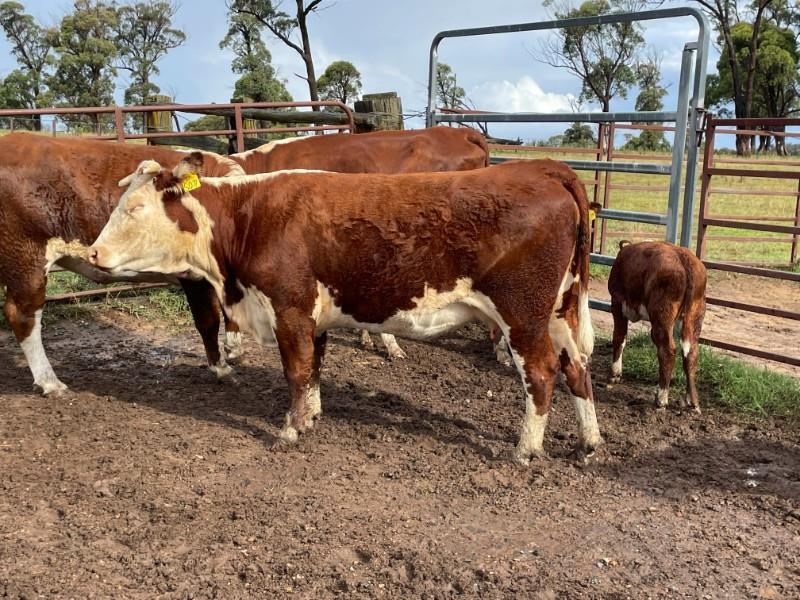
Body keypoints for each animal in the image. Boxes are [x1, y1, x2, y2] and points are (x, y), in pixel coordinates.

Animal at [87, 154, 601, 463]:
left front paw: (290, 430)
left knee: (542, 373)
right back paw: (589, 442)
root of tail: (541, 168)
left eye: (134, 208)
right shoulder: (314, 316)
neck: (248, 219)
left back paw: (525, 449)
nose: (93, 253)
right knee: (576, 368)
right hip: (559, 311)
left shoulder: (290, 308)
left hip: (523, 315)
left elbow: (296, 371)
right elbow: (313, 369)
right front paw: (312, 416)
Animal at [608, 240, 707, 412]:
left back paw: (661, 398)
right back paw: (692, 399)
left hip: (662, 316)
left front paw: (615, 373)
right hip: (695, 315)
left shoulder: (617, 304)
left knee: (667, 350)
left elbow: (619, 338)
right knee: (691, 353)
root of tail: (684, 257)